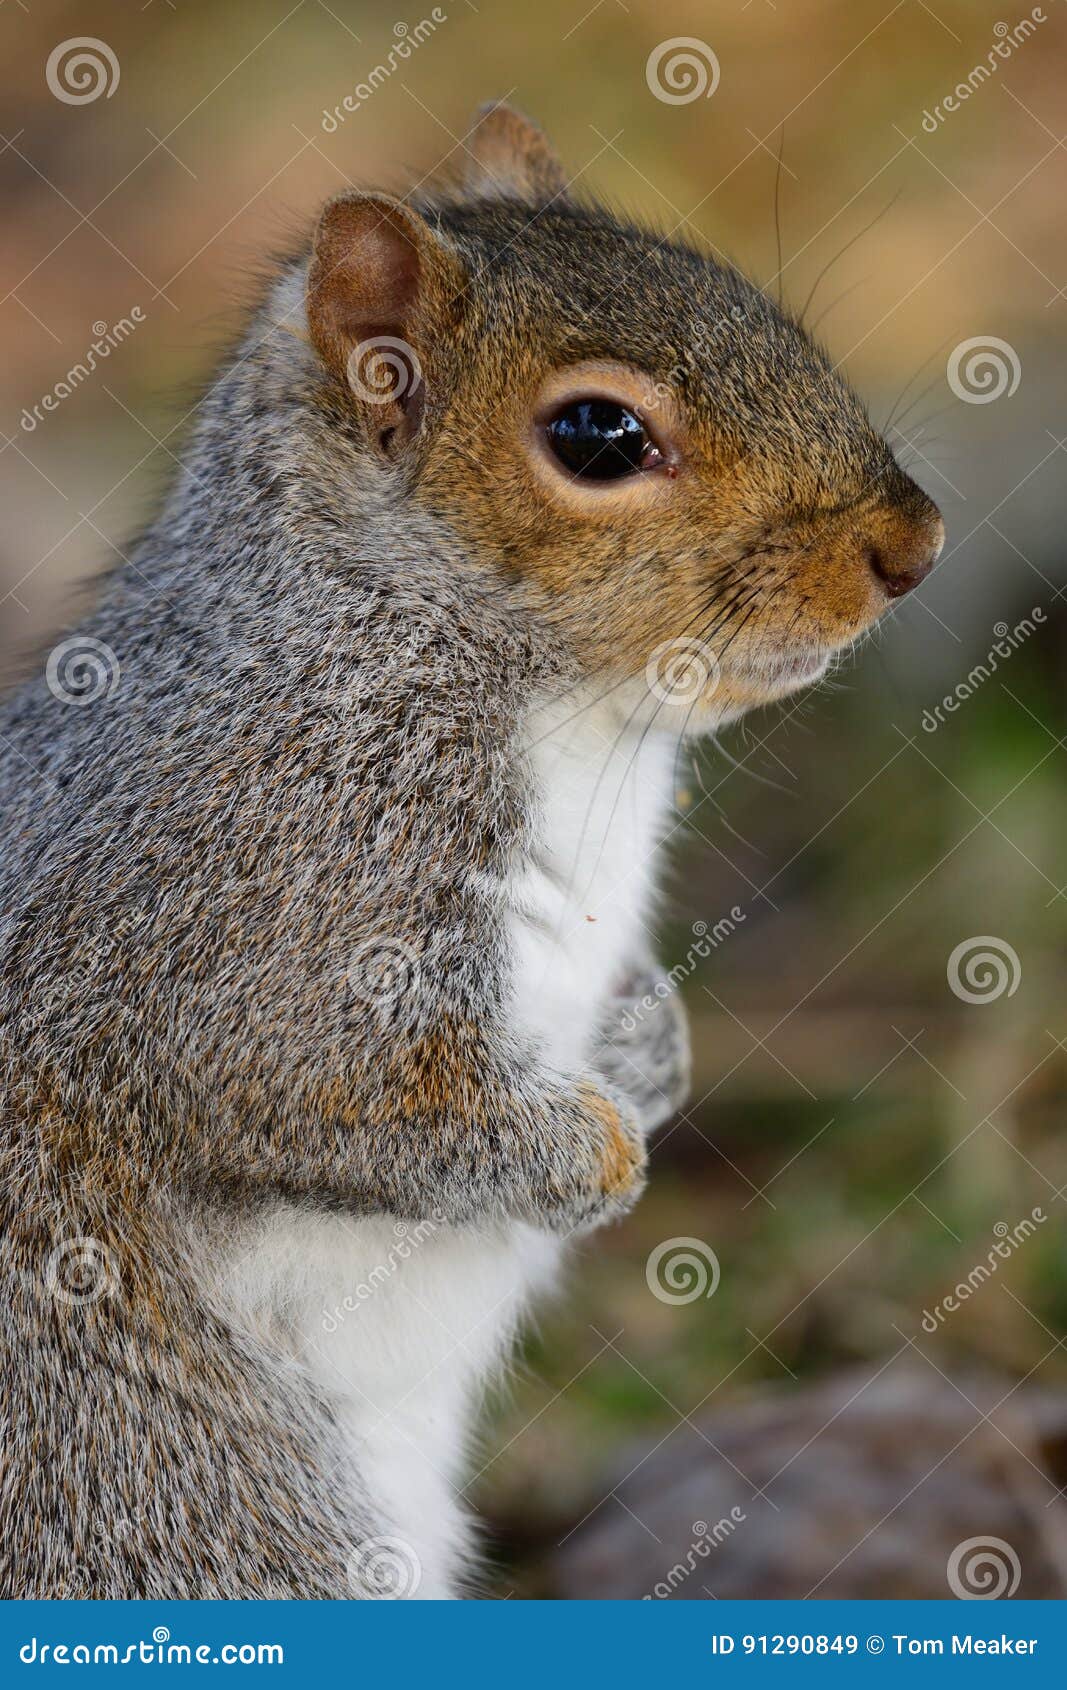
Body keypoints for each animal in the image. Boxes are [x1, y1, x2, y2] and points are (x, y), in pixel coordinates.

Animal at [0, 103, 943, 1599]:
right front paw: (589, 1156)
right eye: (597, 435)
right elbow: (329, 1089)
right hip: (158, 1491)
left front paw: (645, 1048)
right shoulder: (265, 881)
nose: (910, 544)